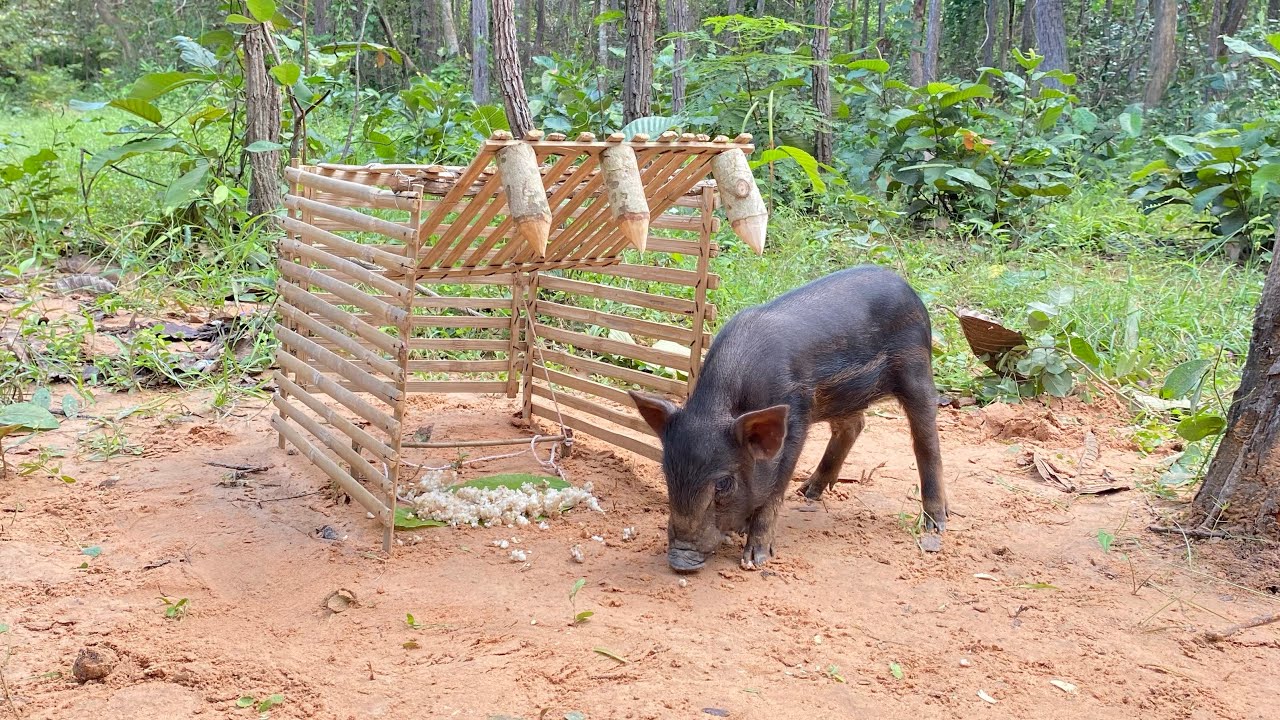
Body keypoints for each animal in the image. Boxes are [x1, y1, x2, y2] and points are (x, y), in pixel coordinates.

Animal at [629, 265, 946, 573]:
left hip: (915, 365)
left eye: (724, 484)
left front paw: (754, 560)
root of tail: (907, 288)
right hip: (840, 397)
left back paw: (935, 524)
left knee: (926, 437)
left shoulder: (795, 419)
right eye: (666, 474)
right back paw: (807, 492)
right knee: (854, 425)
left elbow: (775, 486)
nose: (679, 560)